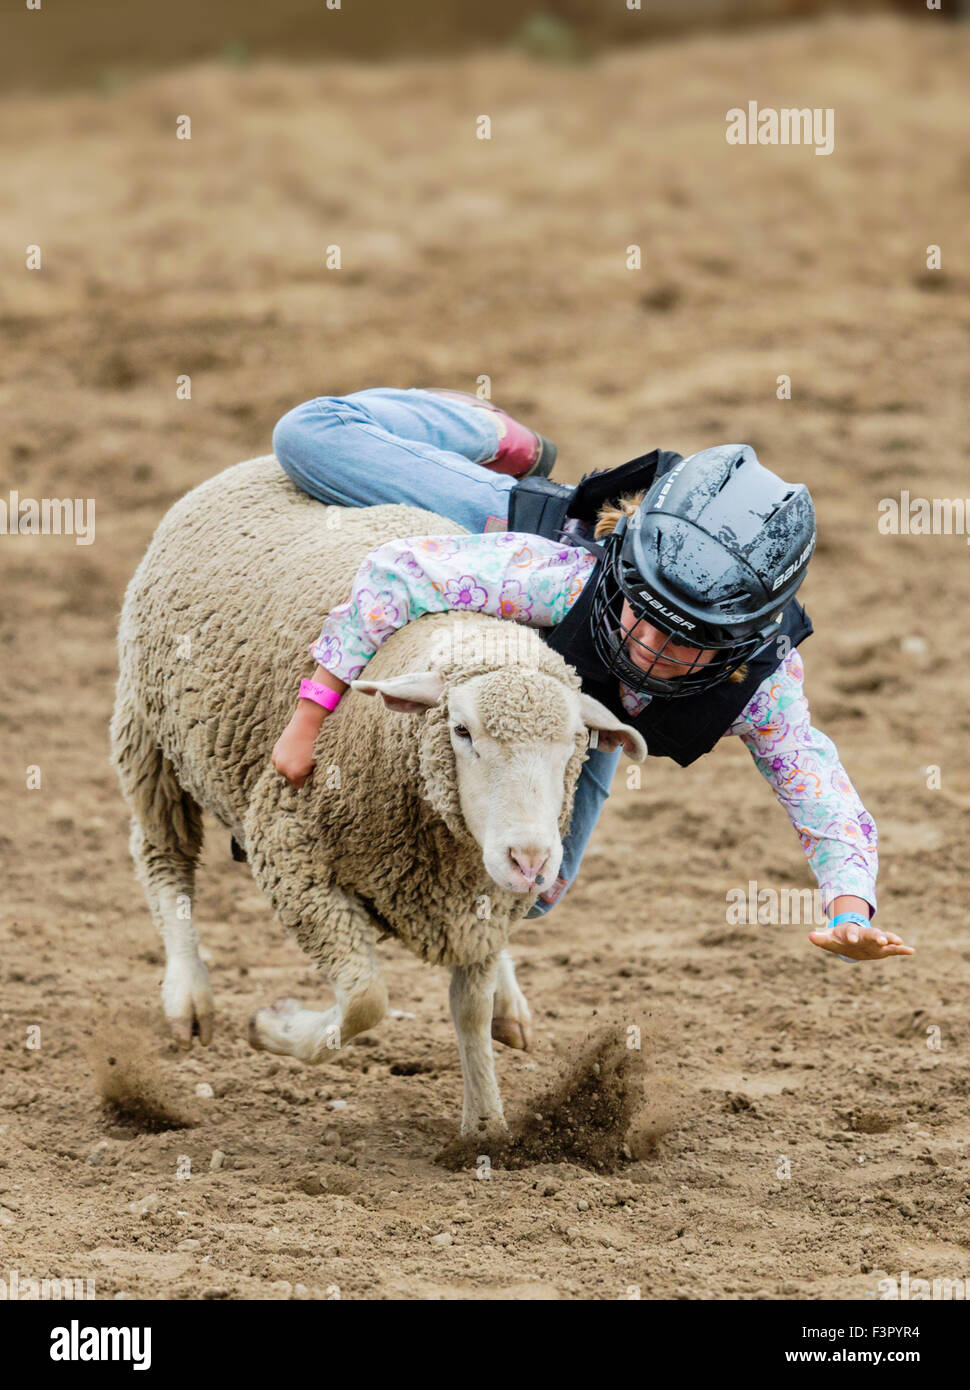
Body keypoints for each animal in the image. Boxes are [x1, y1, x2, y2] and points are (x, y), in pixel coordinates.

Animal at [110, 456, 646, 1137]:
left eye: (577, 740)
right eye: (461, 731)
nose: (530, 860)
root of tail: (251, 463)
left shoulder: (481, 902)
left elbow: (468, 1009)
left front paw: (485, 1125)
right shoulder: (294, 859)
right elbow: (367, 1000)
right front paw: (273, 1027)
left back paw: (510, 1003)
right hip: (149, 734)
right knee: (164, 857)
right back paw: (188, 996)